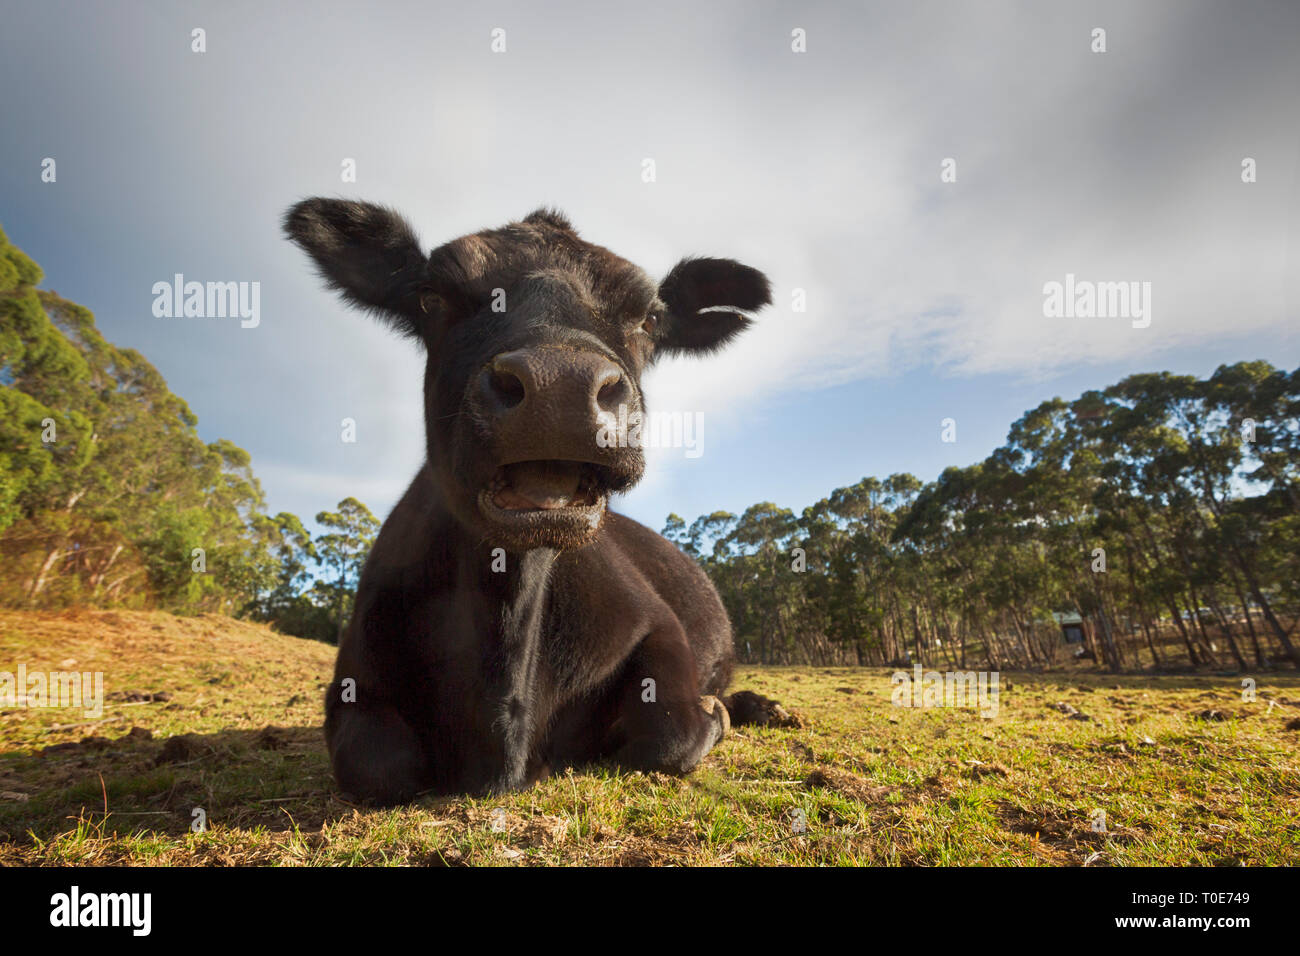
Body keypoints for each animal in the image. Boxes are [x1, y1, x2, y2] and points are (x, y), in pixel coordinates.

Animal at [284, 199, 775, 805]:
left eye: (648, 319)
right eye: (432, 297)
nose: (558, 385)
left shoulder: (658, 626)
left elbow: (670, 736)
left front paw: (716, 714)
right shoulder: (355, 680)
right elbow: (376, 763)